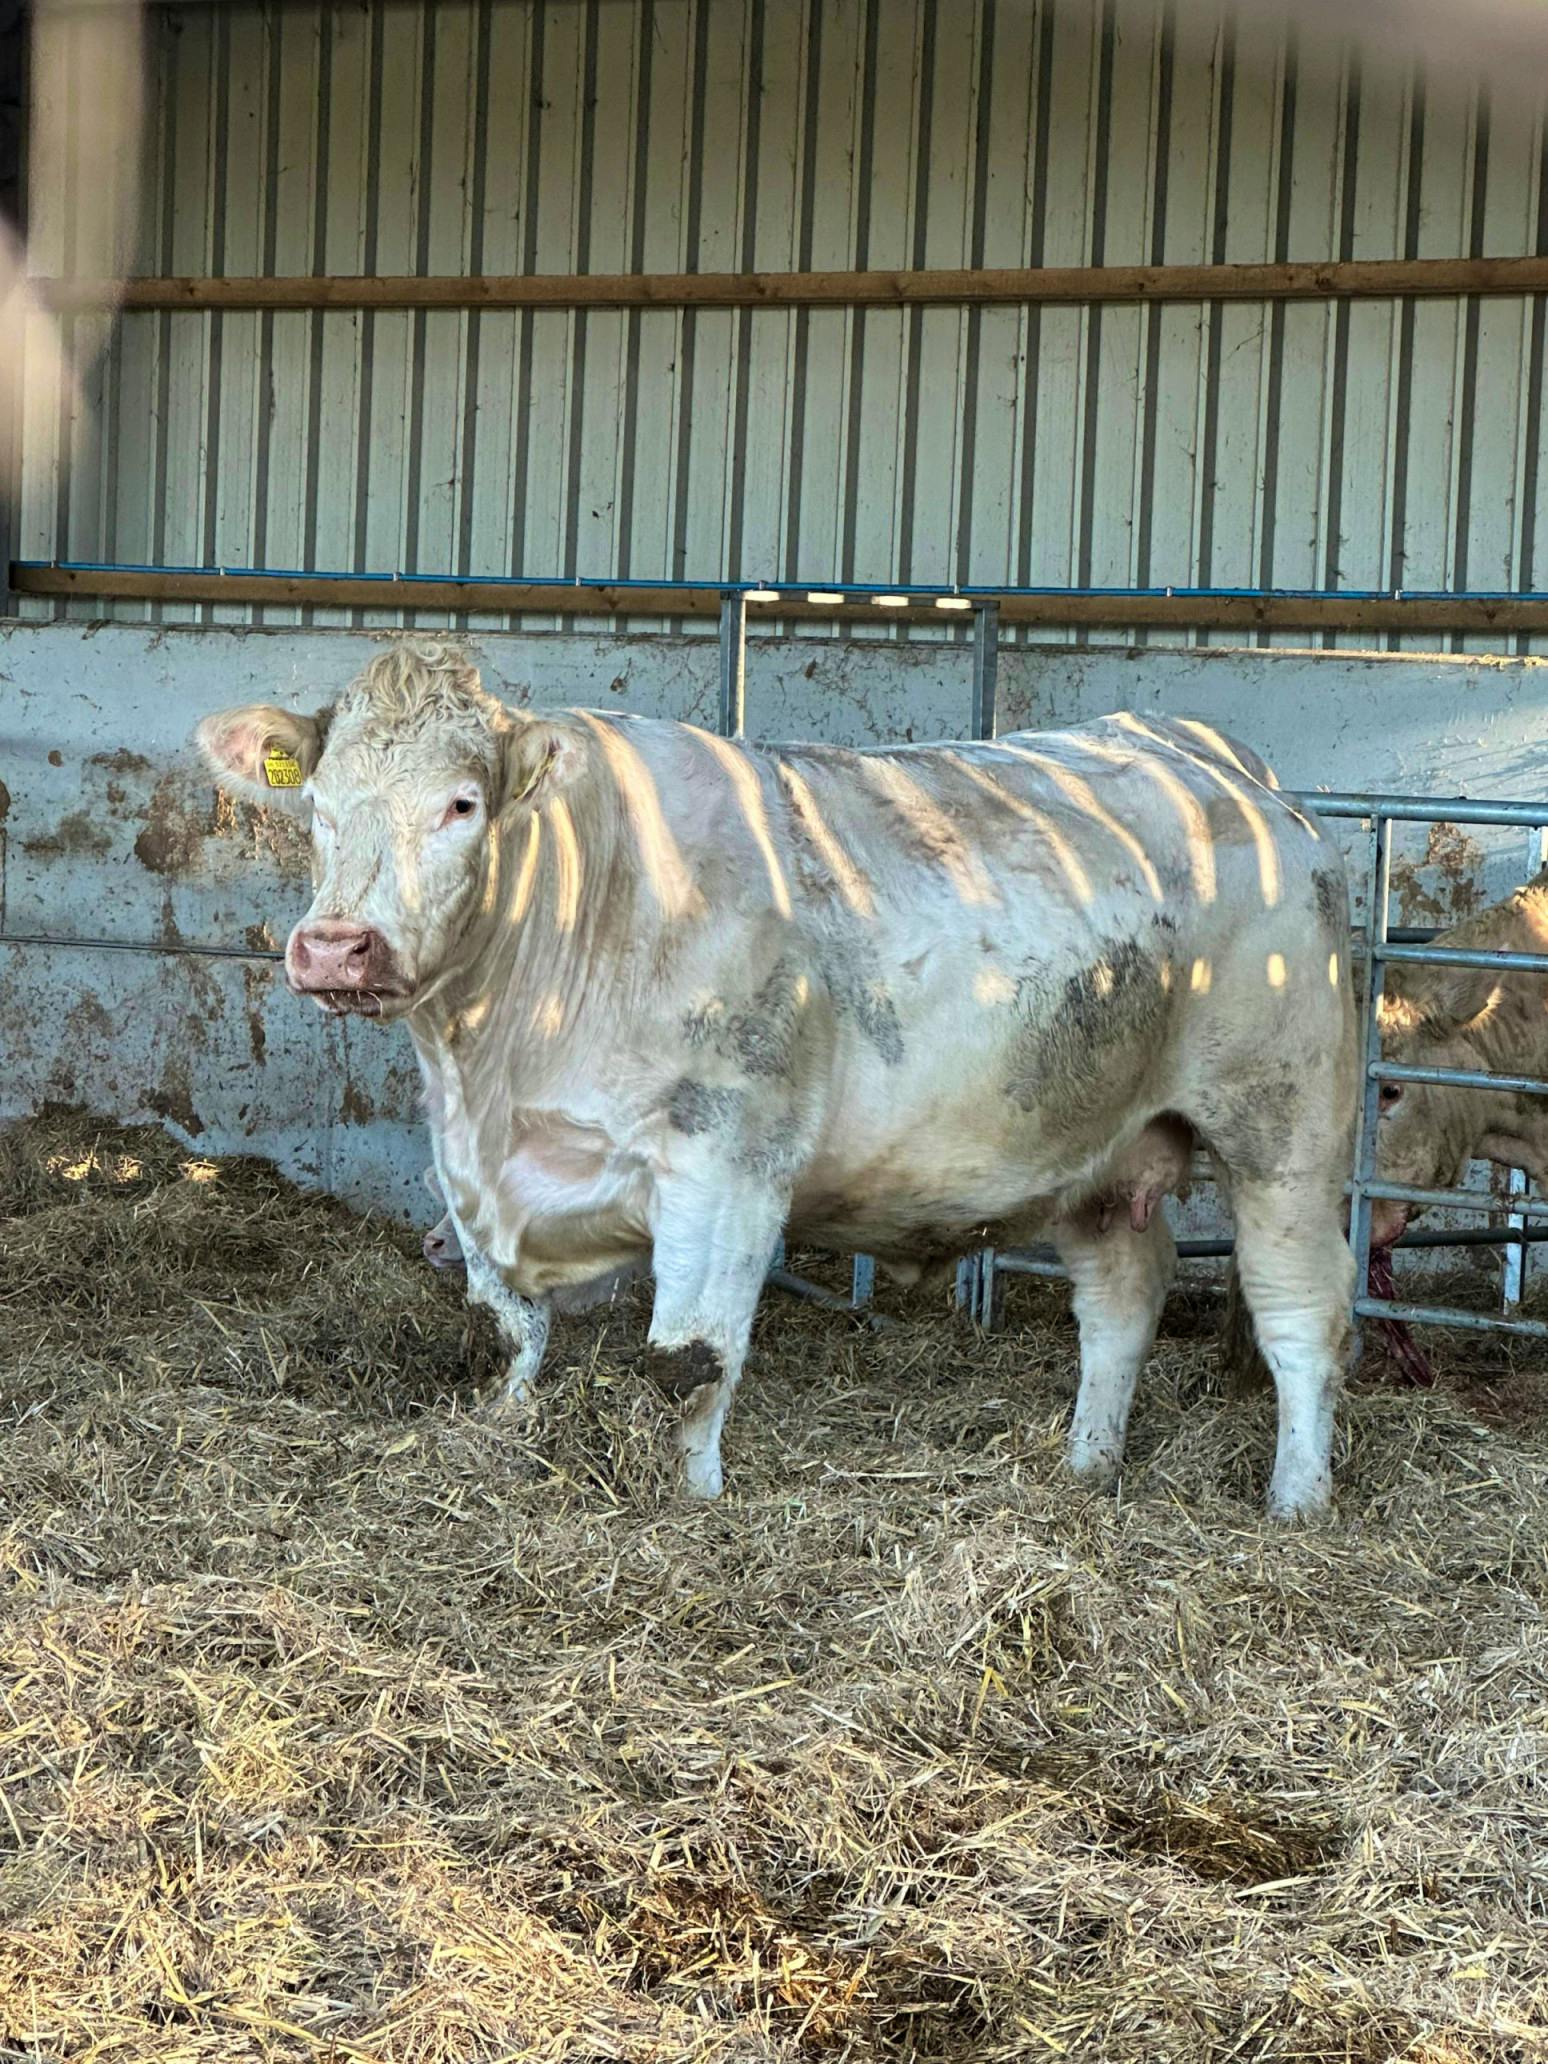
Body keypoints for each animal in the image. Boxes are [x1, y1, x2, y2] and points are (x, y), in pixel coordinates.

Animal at [197, 644, 1356, 1517]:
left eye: (462, 804)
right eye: (320, 806)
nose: (336, 948)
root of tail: (1208, 754)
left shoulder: (727, 1163)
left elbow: (691, 1358)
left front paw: (690, 1504)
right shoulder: (474, 1183)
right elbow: (509, 1337)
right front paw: (506, 1437)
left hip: (1287, 1120)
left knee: (1299, 1302)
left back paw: (1295, 1499)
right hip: (1100, 1140)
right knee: (1122, 1295)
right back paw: (1084, 1466)